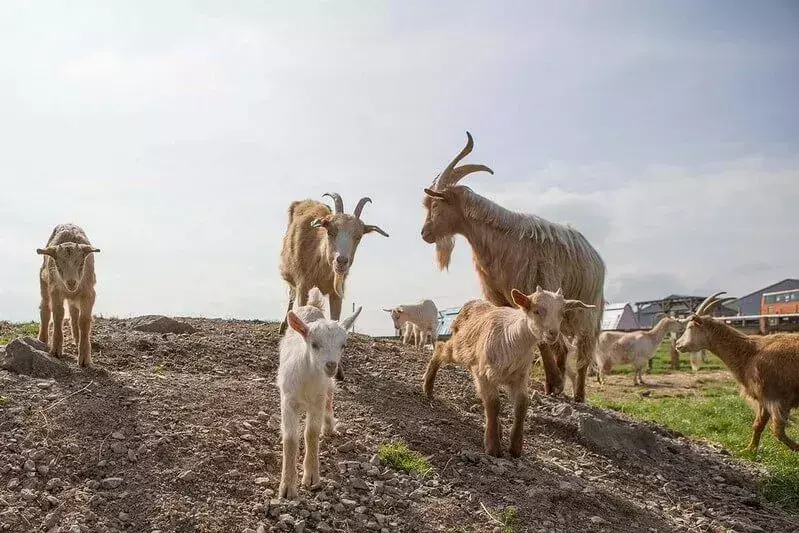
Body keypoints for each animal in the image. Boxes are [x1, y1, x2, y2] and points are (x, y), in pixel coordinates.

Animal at [36, 223, 99, 366]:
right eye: (58, 265)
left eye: (81, 263)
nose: (71, 282)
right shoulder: (56, 290)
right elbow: (58, 315)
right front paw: (56, 350)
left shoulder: (88, 293)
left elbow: (84, 321)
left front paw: (85, 358)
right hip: (44, 281)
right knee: (45, 308)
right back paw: (42, 339)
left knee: (74, 313)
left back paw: (77, 339)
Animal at [276, 286, 360, 498]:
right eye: (314, 344)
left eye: (343, 345)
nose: (331, 365)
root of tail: (311, 306)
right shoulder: (288, 401)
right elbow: (290, 439)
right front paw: (287, 486)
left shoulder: (317, 399)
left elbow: (311, 433)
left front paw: (312, 477)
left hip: (326, 387)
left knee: (330, 397)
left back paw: (329, 425)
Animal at [422, 132, 604, 400]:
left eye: (435, 205)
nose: (424, 233)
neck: (503, 242)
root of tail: (595, 255)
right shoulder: (502, 299)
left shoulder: (538, 292)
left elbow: (542, 340)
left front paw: (554, 383)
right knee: (561, 347)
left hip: (588, 310)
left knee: (583, 349)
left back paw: (578, 394)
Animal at [424, 286, 592, 458]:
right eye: (536, 311)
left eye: (562, 313)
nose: (553, 333)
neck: (514, 338)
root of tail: (471, 303)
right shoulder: (485, 374)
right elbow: (493, 404)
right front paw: (493, 447)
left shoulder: (519, 377)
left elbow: (522, 405)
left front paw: (515, 447)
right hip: (461, 349)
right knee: (440, 349)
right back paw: (428, 387)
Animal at [676, 294, 799, 450]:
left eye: (691, 327)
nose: (677, 344)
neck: (750, 353)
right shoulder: (763, 399)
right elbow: (758, 425)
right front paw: (749, 450)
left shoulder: (777, 398)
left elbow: (778, 431)